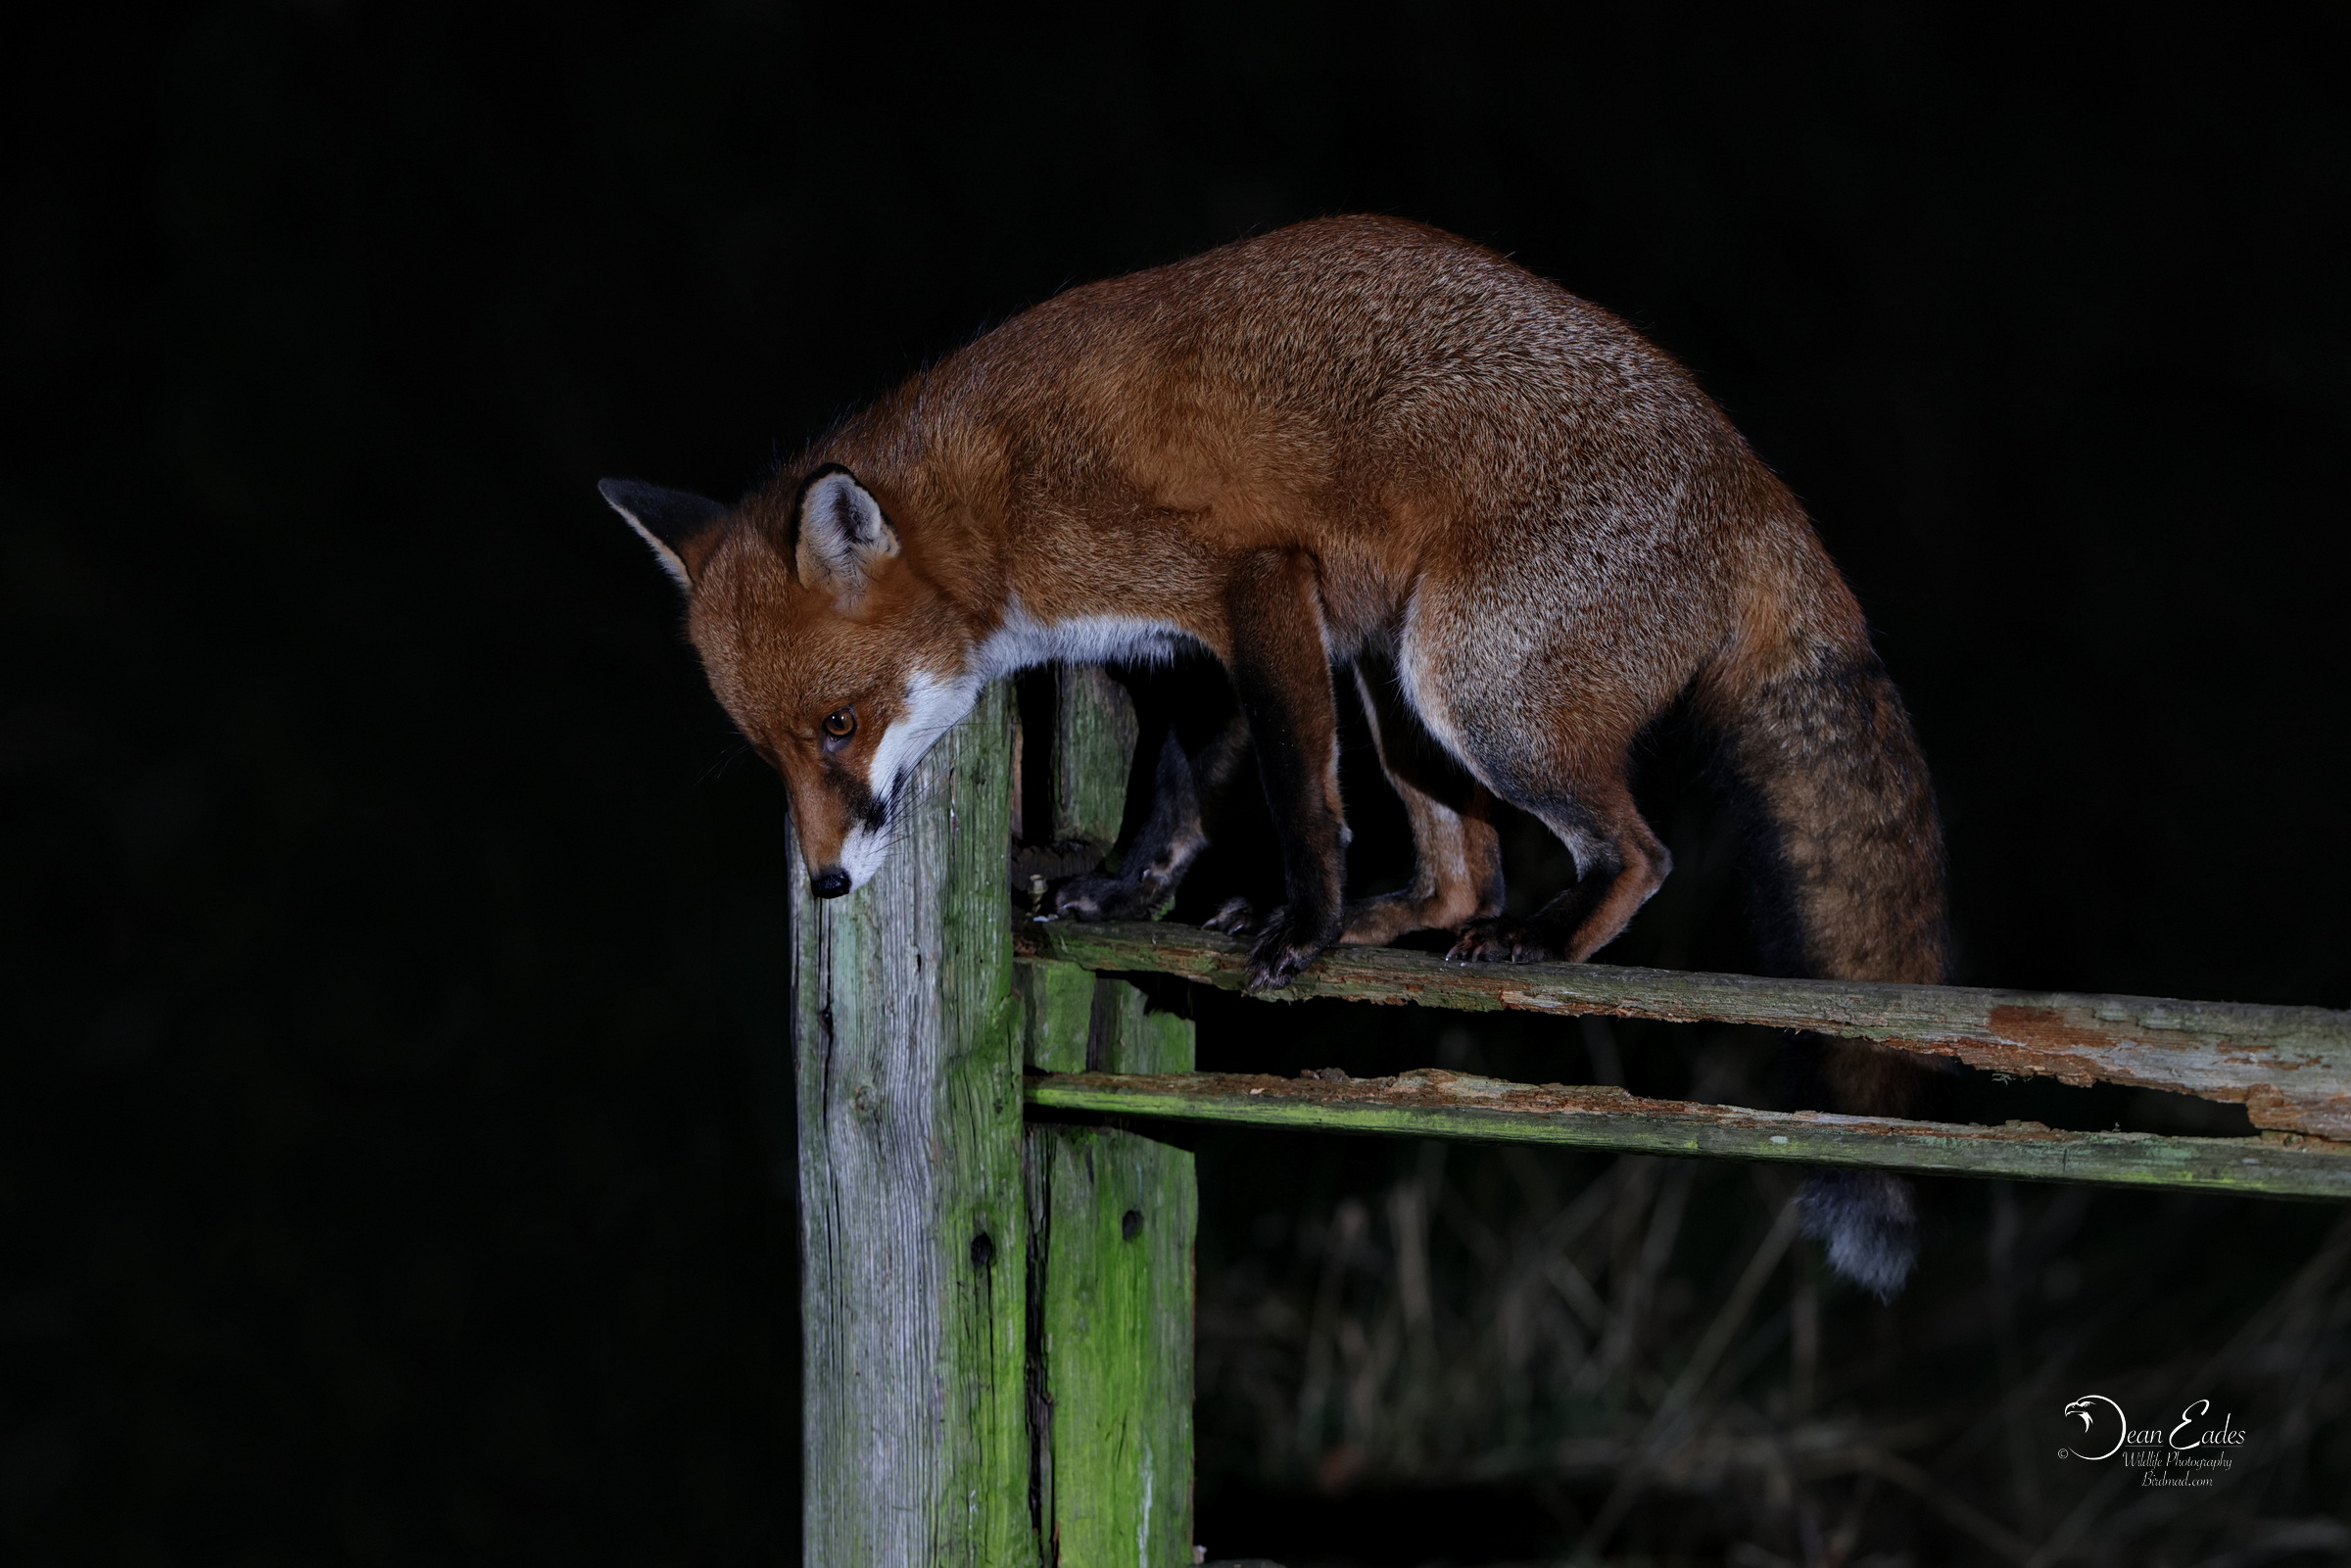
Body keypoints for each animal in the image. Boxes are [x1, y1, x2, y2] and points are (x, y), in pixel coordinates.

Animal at [601, 215, 1948, 1296]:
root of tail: (1754, 478)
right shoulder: (1206, 643)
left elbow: (1301, 796)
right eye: (773, 753)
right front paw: (1127, 891)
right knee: (1467, 870)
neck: (1003, 505)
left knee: (1637, 852)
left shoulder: (1256, 581)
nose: (827, 881)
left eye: (839, 724)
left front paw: (1304, 929)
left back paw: (1542, 937)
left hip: (1468, 683)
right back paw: (1404, 919)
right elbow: (1175, 795)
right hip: (1395, 684)